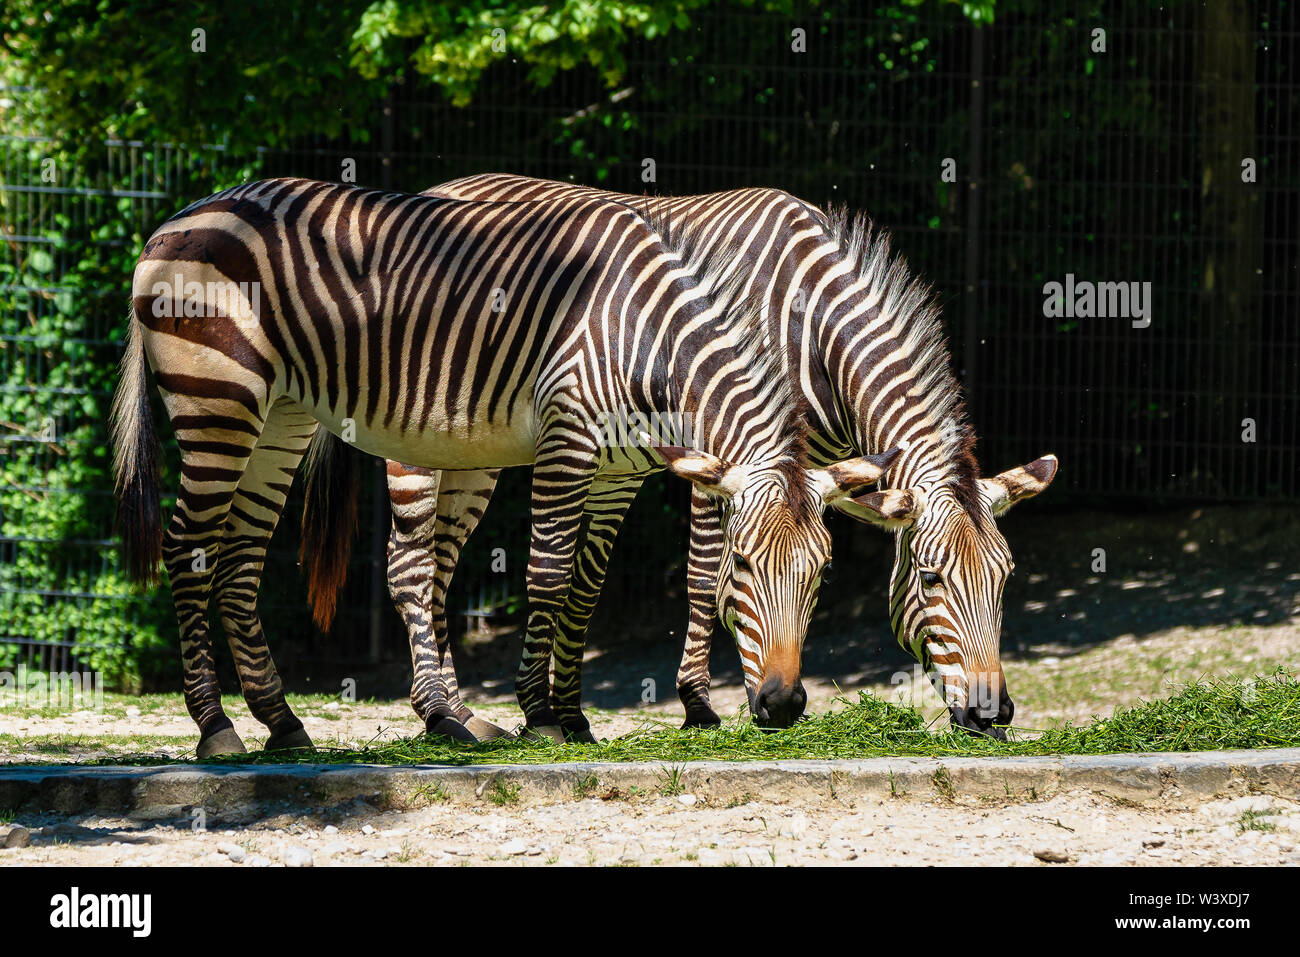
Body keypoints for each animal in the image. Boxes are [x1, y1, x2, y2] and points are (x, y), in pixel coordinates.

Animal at [112, 177, 894, 756]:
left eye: (823, 571)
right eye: (743, 567)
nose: (784, 705)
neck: (645, 334)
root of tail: (177, 218)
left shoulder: (620, 461)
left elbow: (582, 585)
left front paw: (563, 714)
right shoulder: (567, 438)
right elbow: (547, 574)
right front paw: (542, 717)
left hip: (280, 417)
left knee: (241, 560)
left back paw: (287, 722)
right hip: (219, 398)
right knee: (191, 549)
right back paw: (218, 728)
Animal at [306, 175, 1057, 740]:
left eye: (1007, 579)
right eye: (931, 579)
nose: (990, 714)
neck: (809, 322)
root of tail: (440, 186)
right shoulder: (720, 455)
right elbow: (704, 576)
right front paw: (700, 703)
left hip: (471, 449)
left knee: (438, 567)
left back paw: (455, 711)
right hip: (416, 440)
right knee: (409, 565)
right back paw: (441, 714)